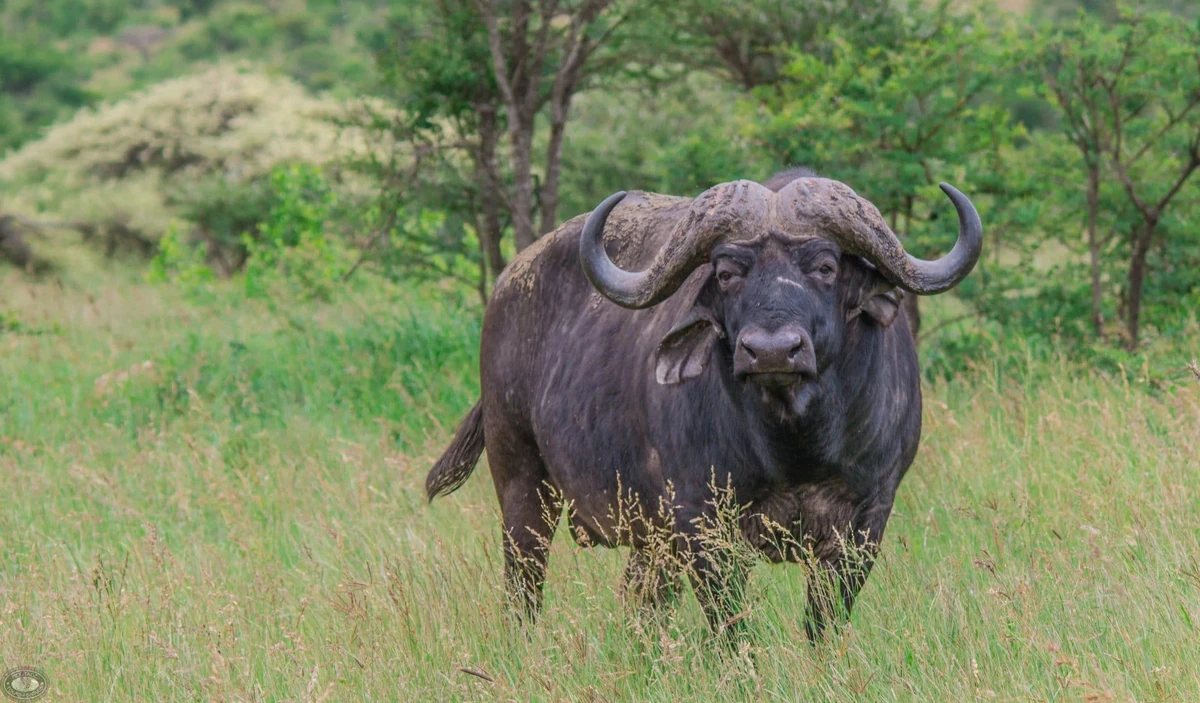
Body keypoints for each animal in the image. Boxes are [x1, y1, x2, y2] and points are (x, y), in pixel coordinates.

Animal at [426, 169, 981, 641]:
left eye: (825, 267)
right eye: (728, 272)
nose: (772, 351)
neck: (796, 445)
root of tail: (508, 284)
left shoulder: (867, 518)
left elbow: (823, 621)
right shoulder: (703, 523)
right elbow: (730, 626)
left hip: (648, 534)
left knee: (642, 603)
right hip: (520, 478)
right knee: (524, 582)